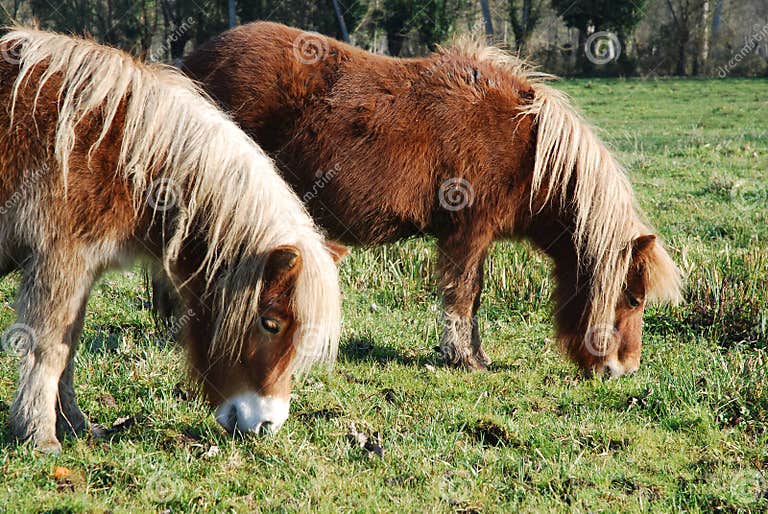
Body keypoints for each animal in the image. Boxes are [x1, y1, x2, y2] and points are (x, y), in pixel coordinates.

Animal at [0, 27, 346, 453]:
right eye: (271, 324)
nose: (267, 425)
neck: (119, 152)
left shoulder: (82, 270)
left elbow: (70, 344)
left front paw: (75, 424)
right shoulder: (60, 260)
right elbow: (49, 345)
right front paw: (40, 434)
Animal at [159, 21, 682, 376]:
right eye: (633, 298)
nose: (624, 369)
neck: (527, 145)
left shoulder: (476, 236)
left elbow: (474, 293)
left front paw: (474, 353)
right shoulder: (467, 232)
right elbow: (463, 294)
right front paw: (464, 358)